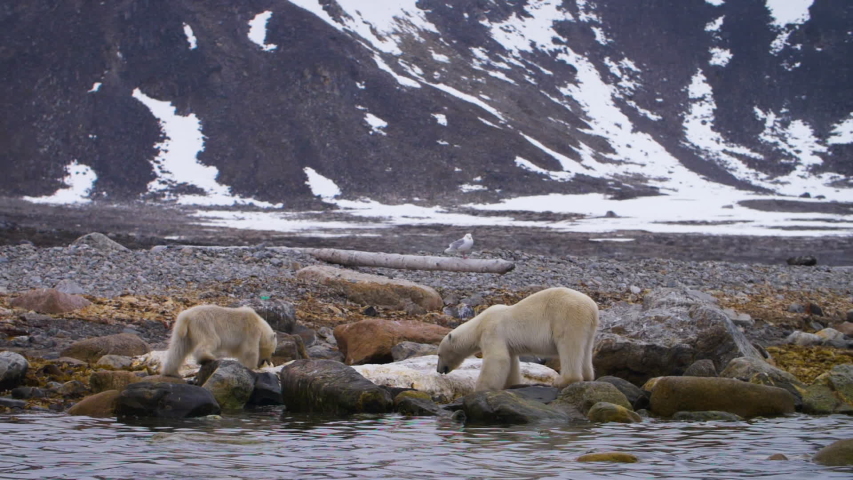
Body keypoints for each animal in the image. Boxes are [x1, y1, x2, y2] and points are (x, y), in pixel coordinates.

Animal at [436, 287, 599, 391]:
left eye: (439, 354)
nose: (439, 370)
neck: (479, 323)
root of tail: (592, 307)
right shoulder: (508, 343)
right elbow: (511, 361)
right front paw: (510, 384)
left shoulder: (492, 331)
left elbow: (497, 358)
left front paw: (481, 389)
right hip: (589, 327)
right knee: (585, 348)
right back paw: (587, 376)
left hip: (566, 316)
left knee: (568, 345)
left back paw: (563, 380)